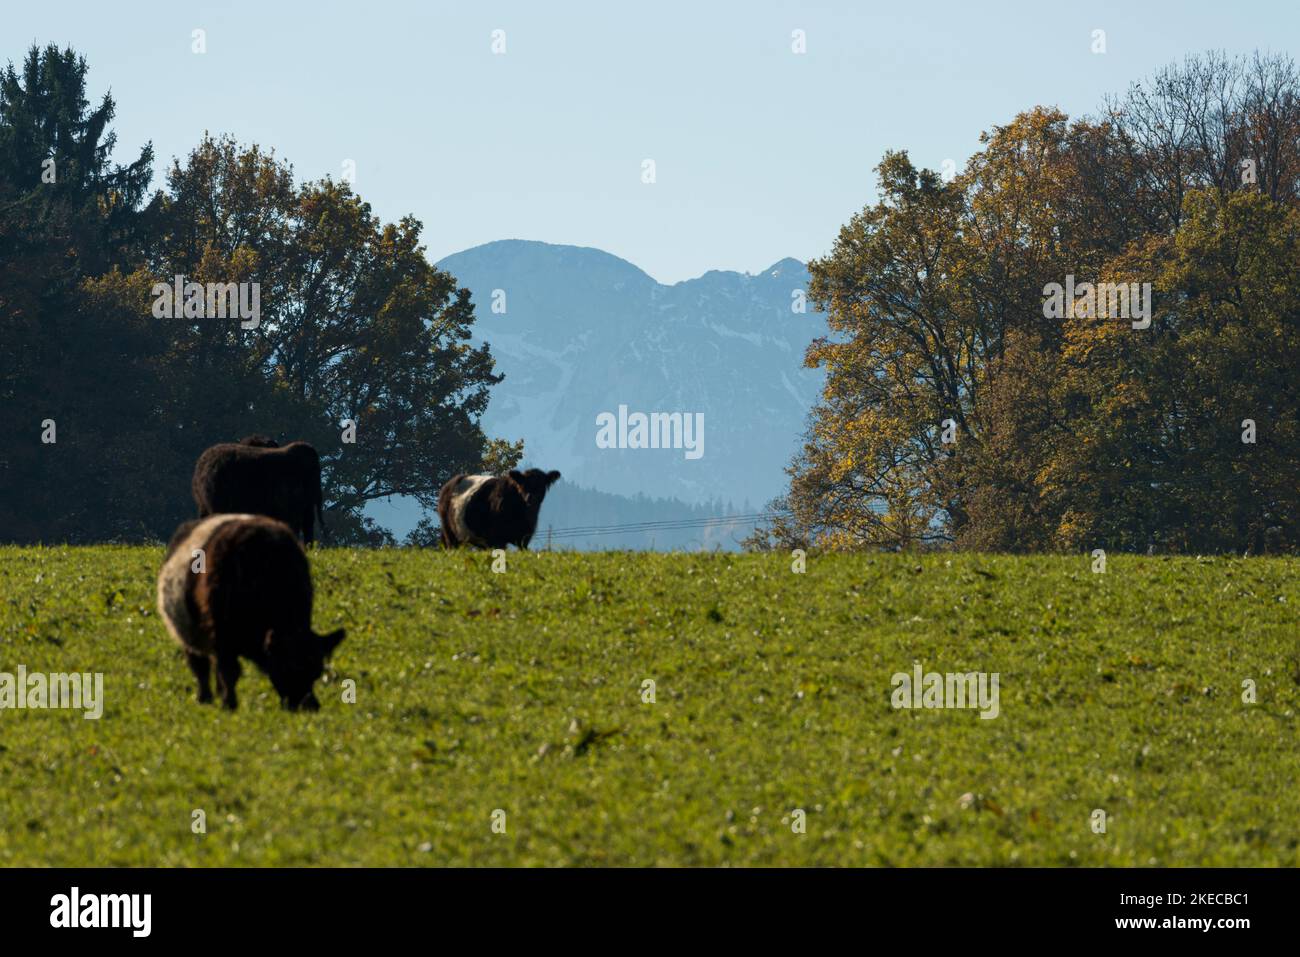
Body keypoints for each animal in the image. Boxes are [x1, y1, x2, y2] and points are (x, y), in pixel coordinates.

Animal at [156, 514, 345, 711]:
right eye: (286, 668)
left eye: (317, 672)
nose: (309, 706)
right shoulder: (222, 634)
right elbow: (229, 671)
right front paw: (229, 705)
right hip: (189, 631)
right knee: (200, 667)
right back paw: (205, 698)